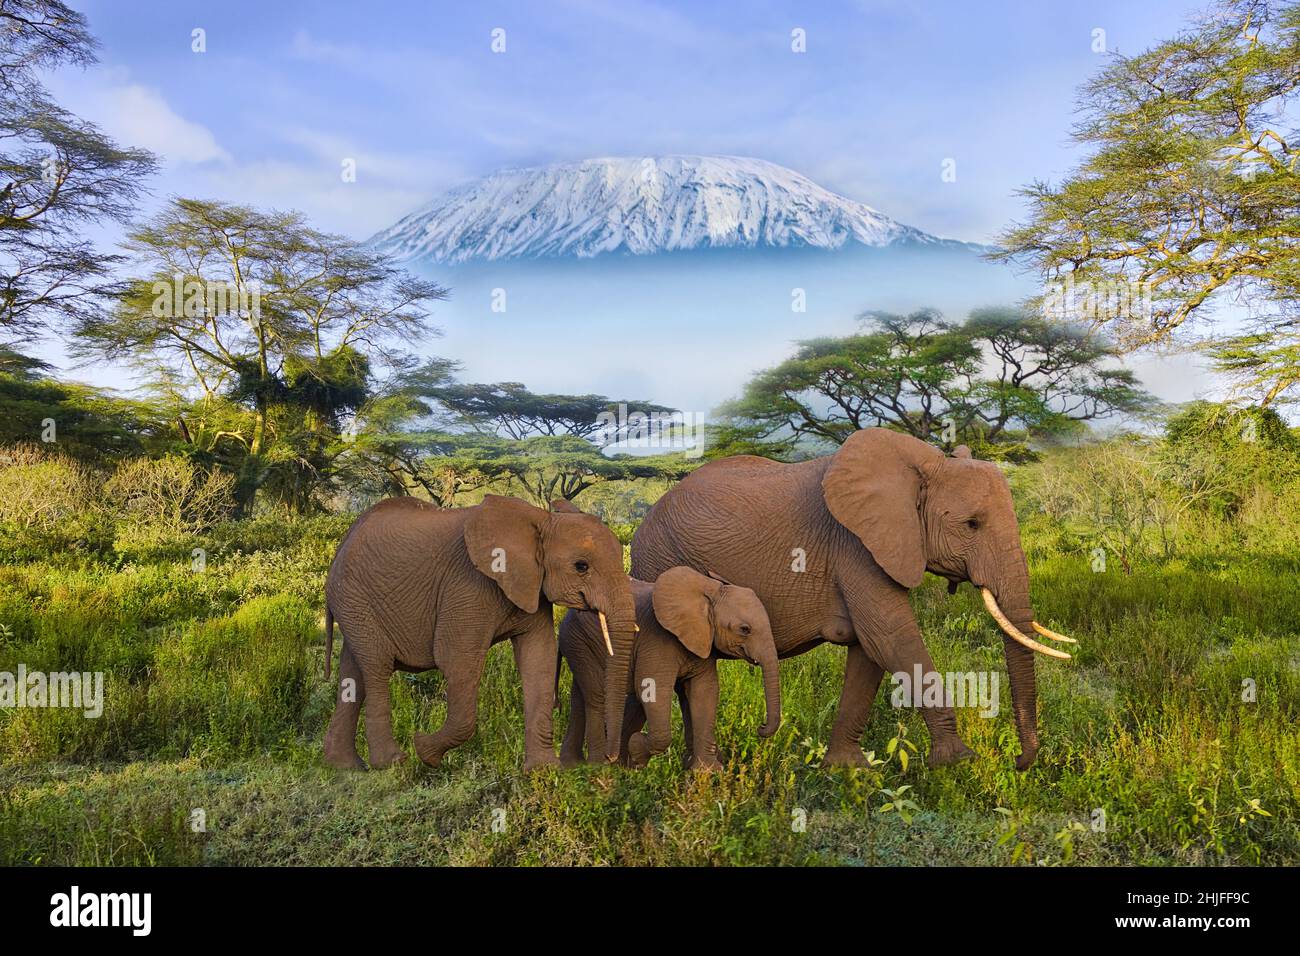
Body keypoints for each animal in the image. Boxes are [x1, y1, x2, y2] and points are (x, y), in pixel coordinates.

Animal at [322, 494, 636, 771]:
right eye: (581, 567)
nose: (610, 760)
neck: (541, 519)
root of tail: (343, 541)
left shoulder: (531, 586)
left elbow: (539, 659)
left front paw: (543, 770)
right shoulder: (467, 585)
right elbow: (456, 660)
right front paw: (425, 751)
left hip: (353, 606)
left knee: (353, 673)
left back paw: (344, 766)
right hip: (354, 598)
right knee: (377, 668)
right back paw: (390, 763)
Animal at [557, 566, 780, 770]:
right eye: (745, 629)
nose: (761, 727)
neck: (709, 591)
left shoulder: (702, 641)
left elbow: (704, 692)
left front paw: (708, 772)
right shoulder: (656, 640)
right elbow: (651, 687)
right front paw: (636, 752)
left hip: (577, 643)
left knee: (580, 697)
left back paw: (573, 766)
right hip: (579, 641)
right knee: (596, 696)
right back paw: (597, 767)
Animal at [631, 427, 1075, 771]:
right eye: (972, 524)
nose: (1018, 762)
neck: (923, 466)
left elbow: (869, 651)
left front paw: (847, 770)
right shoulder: (855, 547)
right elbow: (890, 638)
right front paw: (956, 761)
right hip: (659, 561)